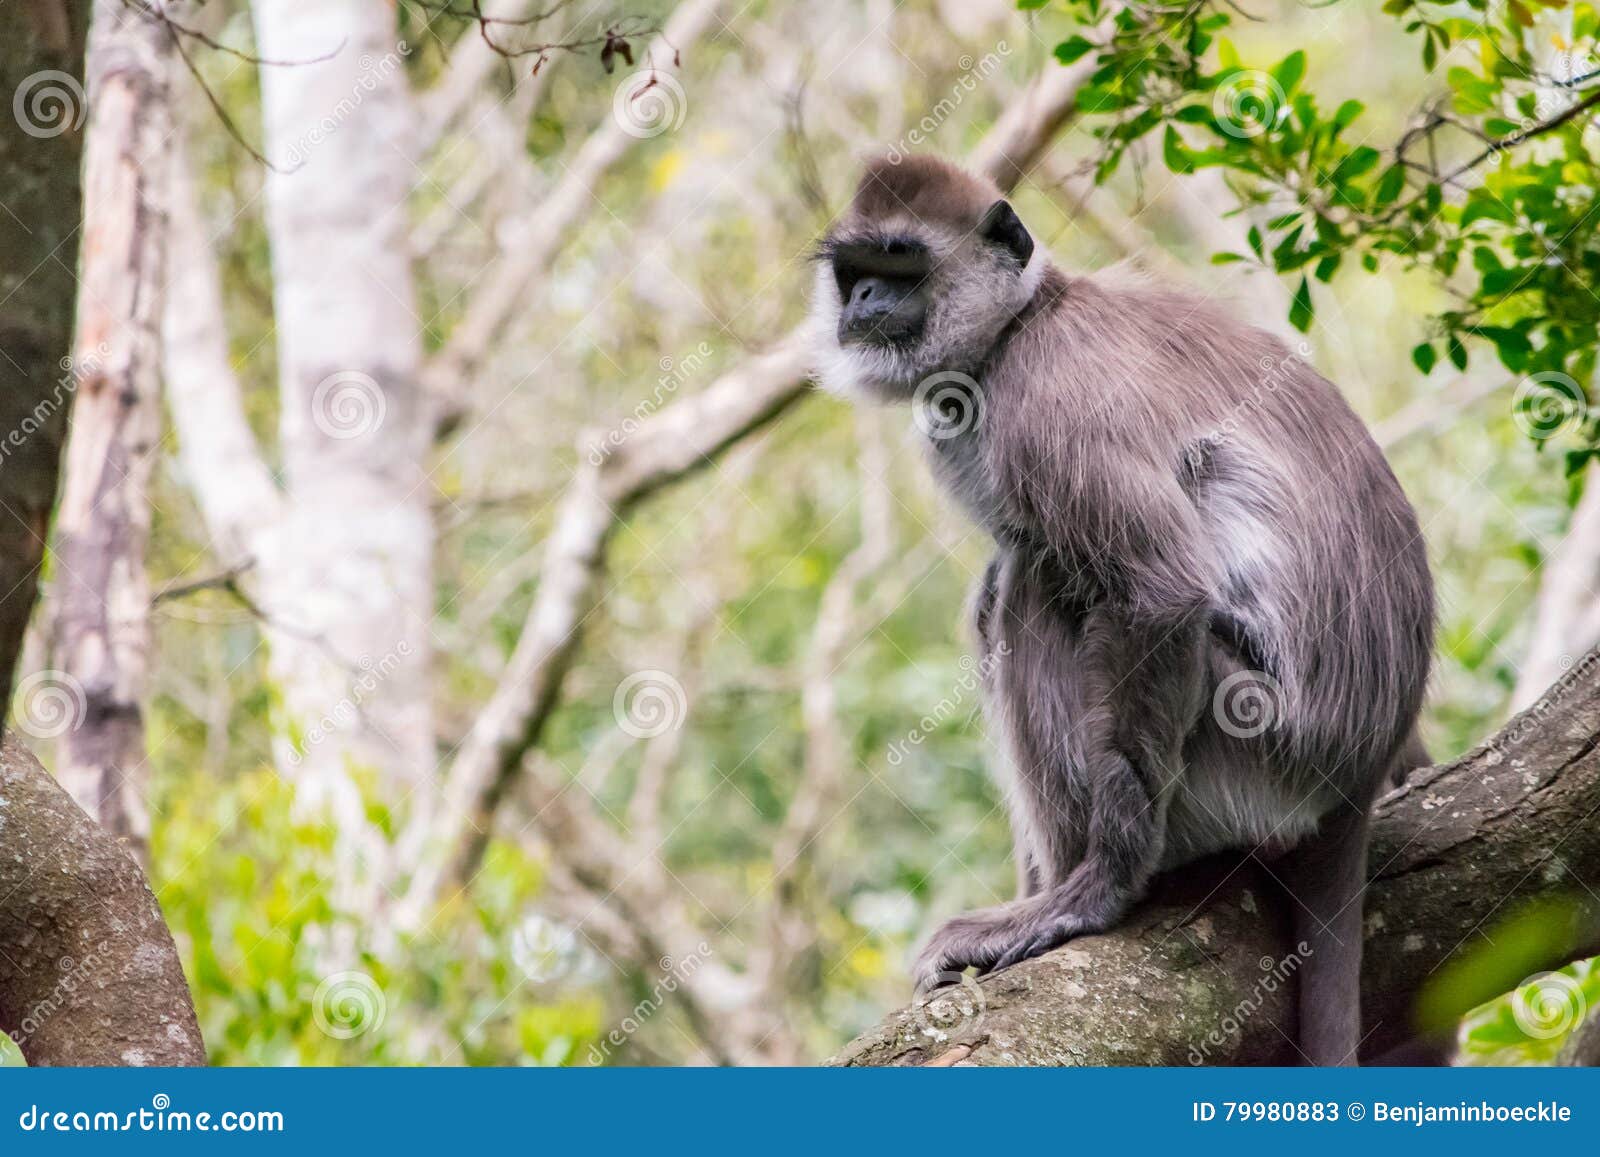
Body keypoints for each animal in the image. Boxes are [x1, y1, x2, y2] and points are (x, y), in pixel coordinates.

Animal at [808, 154, 1434, 1066]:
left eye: (903, 266)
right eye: (854, 271)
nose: (862, 301)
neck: (1026, 321)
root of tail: (1356, 770)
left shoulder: (1048, 400)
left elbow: (1161, 587)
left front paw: (1094, 895)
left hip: (1250, 747)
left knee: (1037, 585)